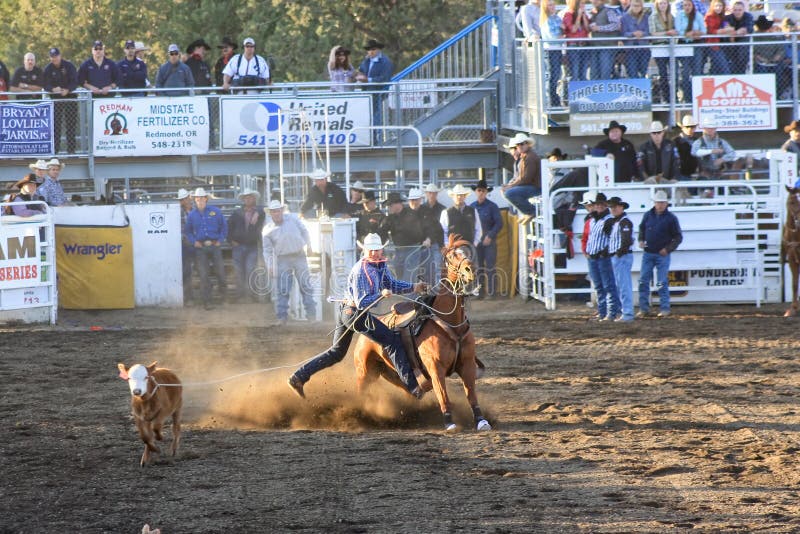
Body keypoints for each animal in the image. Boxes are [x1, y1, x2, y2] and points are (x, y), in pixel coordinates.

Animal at [353, 234, 492, 432]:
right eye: (451, 256)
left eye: (466, 252)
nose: (469, 269)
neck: (451, 324)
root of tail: (364, 333)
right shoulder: (435, 368)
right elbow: (443, 395)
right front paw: (449, 422)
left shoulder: (467, 365)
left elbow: (471, 394)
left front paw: (481, 420)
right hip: (364, 371)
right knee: (361, 392)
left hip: (394, 373)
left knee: (411, 389)